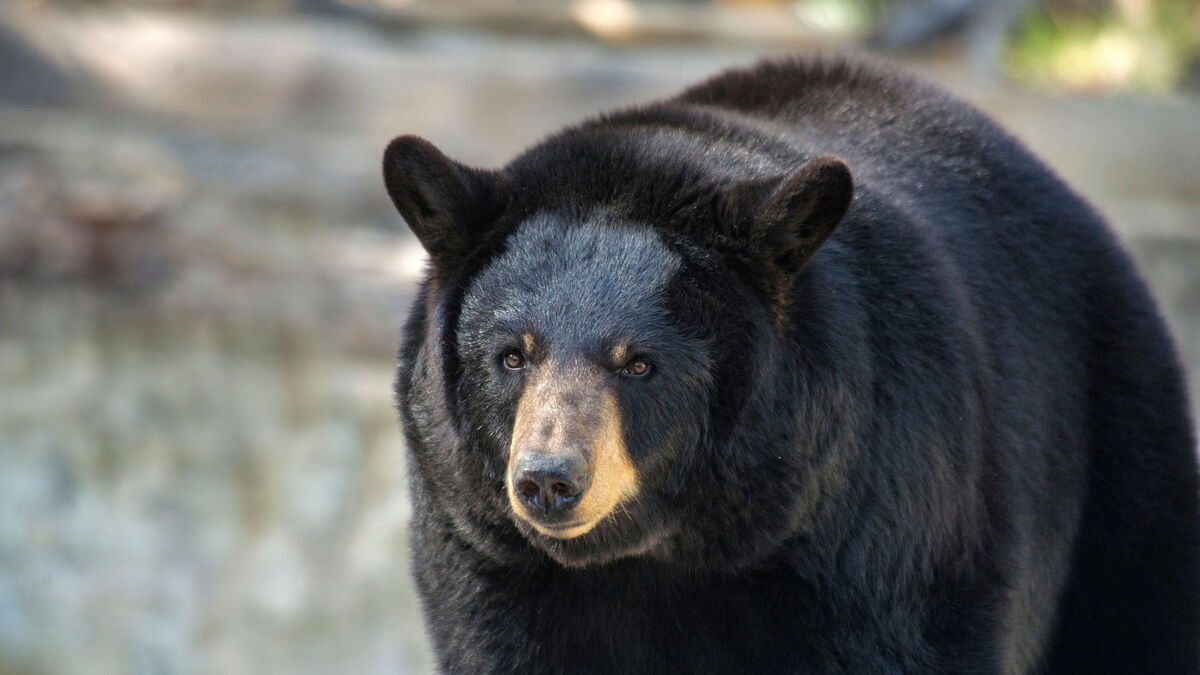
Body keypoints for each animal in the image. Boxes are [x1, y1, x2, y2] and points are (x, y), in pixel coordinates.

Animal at [382, 56, 1200, 673]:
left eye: (639, 363)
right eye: (511, 355)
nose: (550, 479)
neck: (663, 556)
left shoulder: (884, 527)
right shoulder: (484, 554)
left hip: (1116, 448)